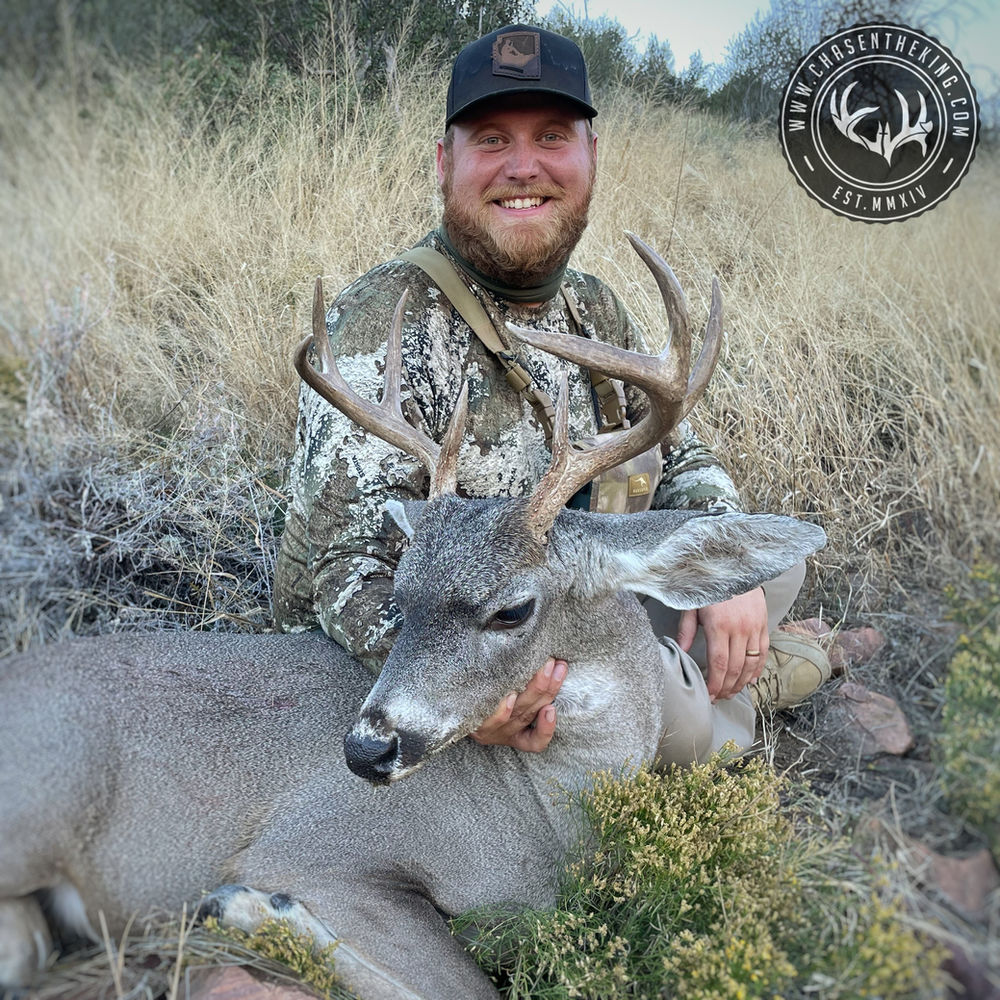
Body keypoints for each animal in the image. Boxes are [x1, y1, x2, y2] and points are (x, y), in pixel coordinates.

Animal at [0, 234, 826, 1000]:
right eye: (398, 597)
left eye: (512, 609)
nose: (365, 750)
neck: (545, 817)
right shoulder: (314, 846)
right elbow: (465, 987)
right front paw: (252, 910)